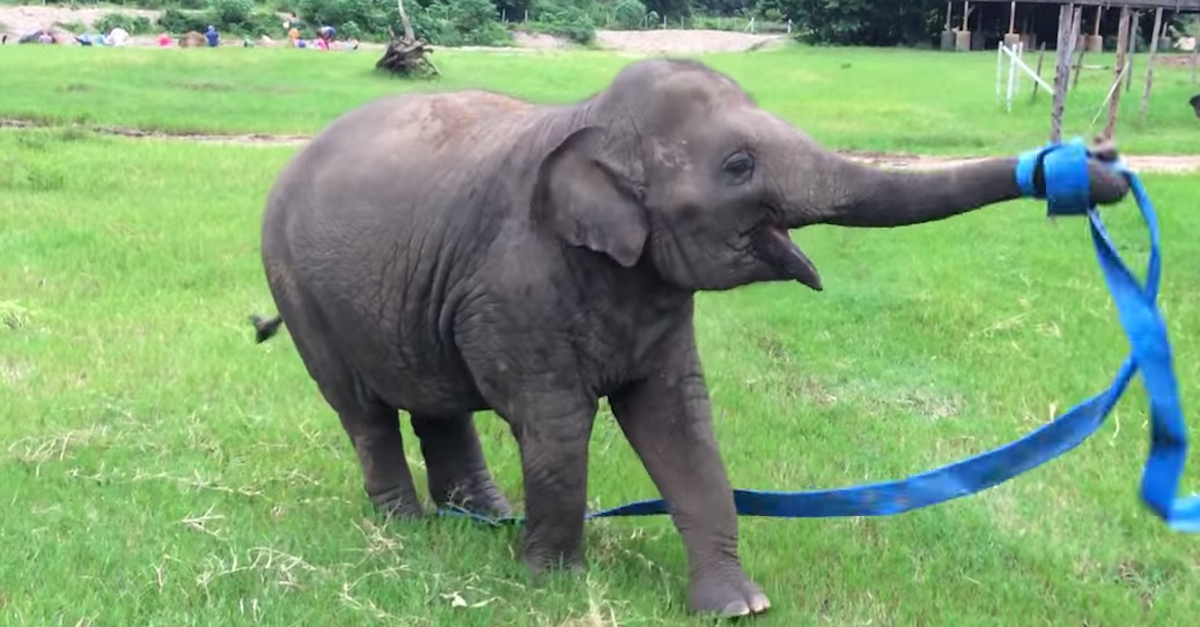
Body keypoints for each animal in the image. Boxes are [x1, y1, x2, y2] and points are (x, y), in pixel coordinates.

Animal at [250, 58, 1130, 617]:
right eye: (738, 165)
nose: (1100, 163)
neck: (590, 118)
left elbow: (678, 418)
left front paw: (739, 606)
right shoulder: (515, 284)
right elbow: (557, 424)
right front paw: (552, 586)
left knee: (439, 402)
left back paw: (484, 519)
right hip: (295, 280)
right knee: (364, 409)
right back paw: (407, 528)